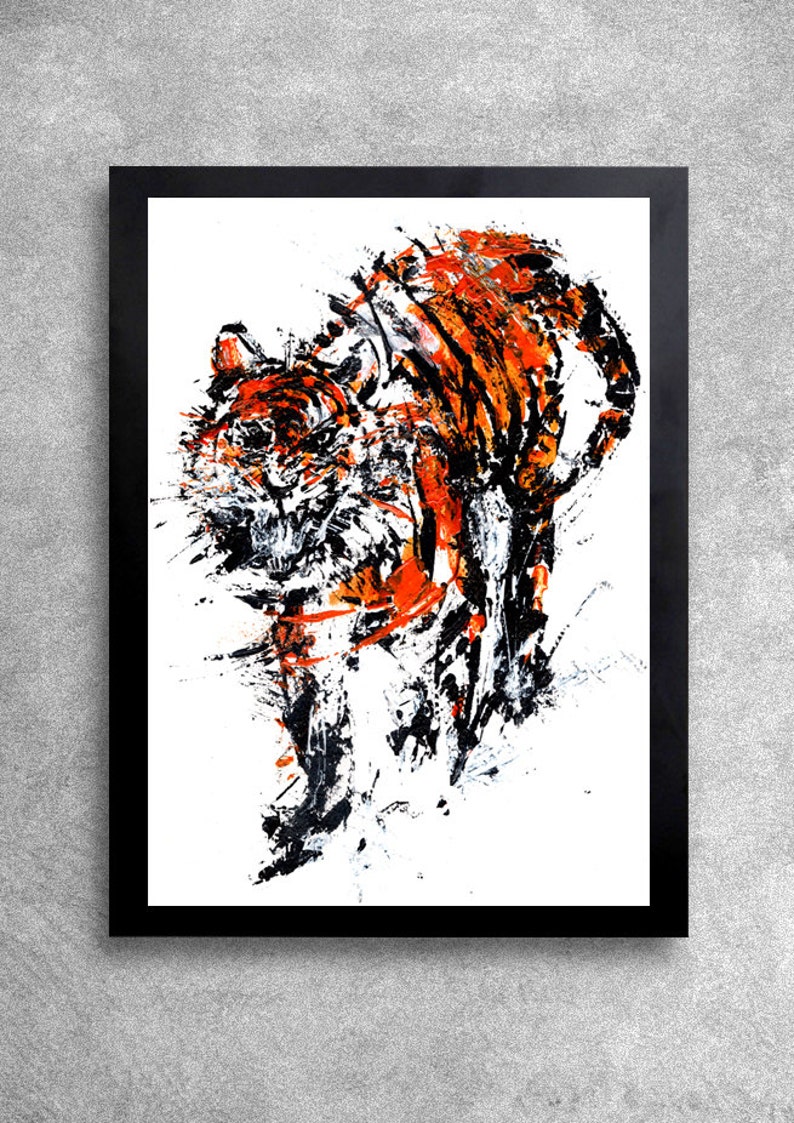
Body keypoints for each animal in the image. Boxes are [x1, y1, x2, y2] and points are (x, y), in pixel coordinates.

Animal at [180, 227, 640, 882]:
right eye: (254, 436)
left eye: (323, 439)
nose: (279, 482)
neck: (344, 558)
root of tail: (513, 246)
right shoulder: (308, 635)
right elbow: (321, 734)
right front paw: (312, 825)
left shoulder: (451, 614)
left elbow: (436, 710)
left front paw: (424, 795)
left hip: (525, 506)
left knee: (520, 610)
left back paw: (514, 697)